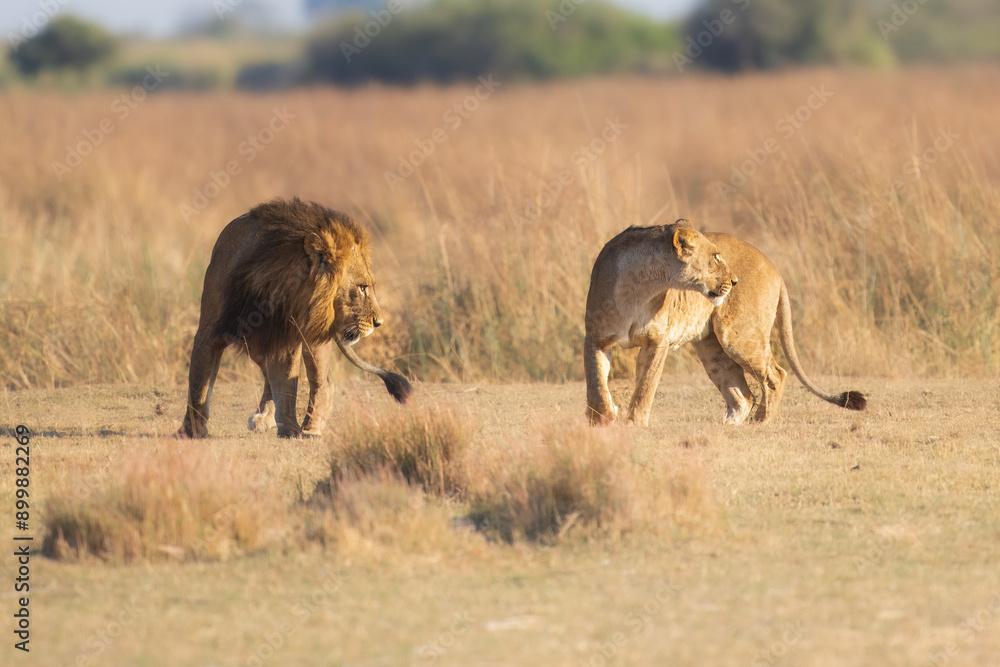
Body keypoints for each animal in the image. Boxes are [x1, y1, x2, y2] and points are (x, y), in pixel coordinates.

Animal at [179, 198, 411, 439]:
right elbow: (198, 387)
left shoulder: (285, 341)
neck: (271, 289)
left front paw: (290, 431)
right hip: (260, 344)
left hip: (313, 335)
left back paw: (310, 428)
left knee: (324, 383)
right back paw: (265, 417)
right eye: (362, 287)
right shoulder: (209, 333)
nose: (379, 323)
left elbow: (287, 388)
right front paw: (190, 431)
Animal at [584, 220, 866, 426]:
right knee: (743, 396)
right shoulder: (595, 337)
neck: (641, 288)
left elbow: (645, 386)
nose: (735, 281)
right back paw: (729, 426)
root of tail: (773, 267)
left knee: (776, 374)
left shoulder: (658, 341)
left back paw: (760, 422)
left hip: (738, 337)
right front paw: (604, 418)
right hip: (712, 349)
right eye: (715, 256)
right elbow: (596, 385)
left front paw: (633, 423)